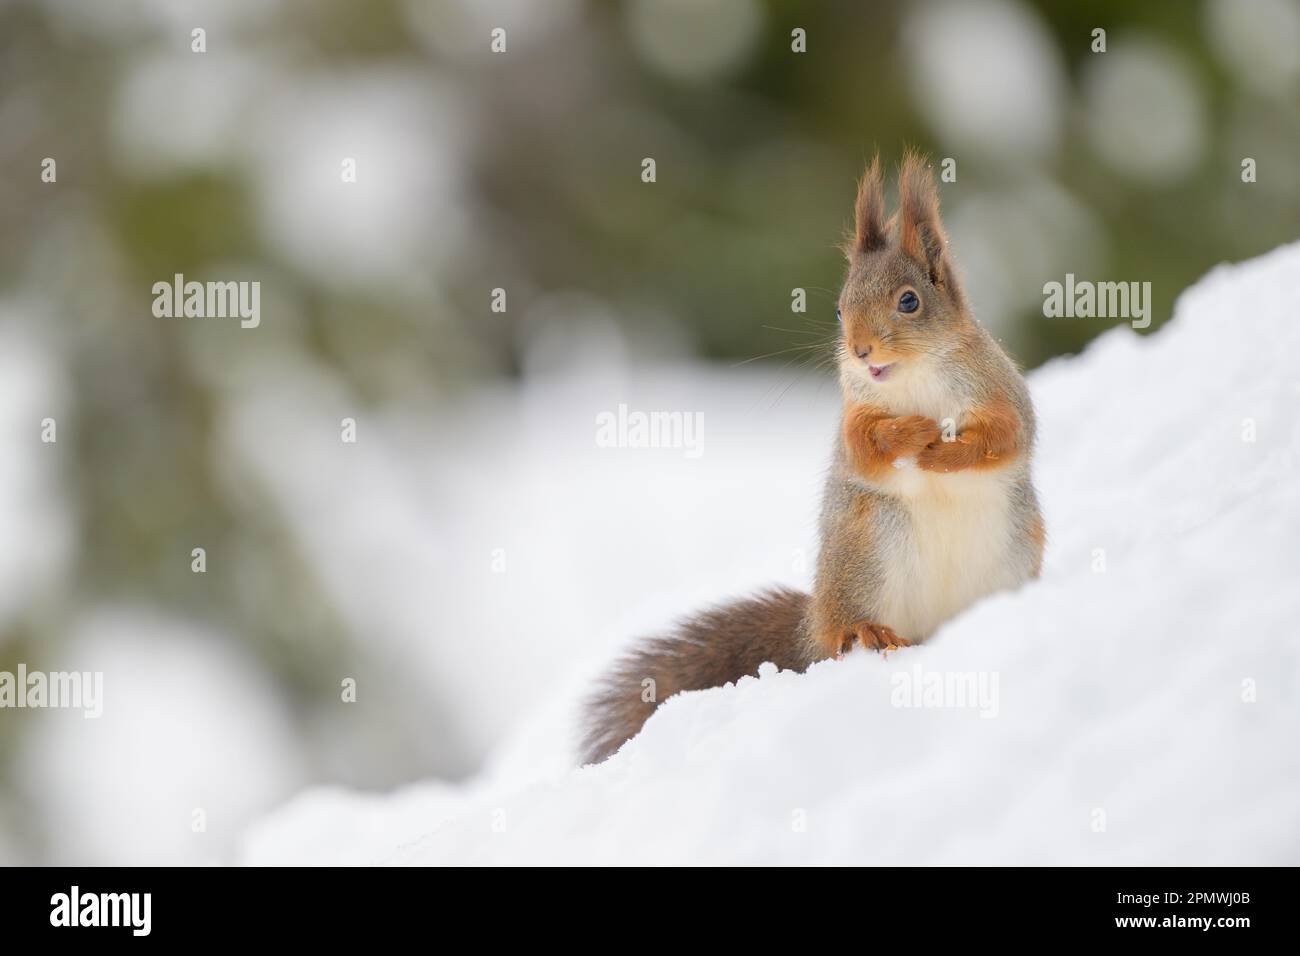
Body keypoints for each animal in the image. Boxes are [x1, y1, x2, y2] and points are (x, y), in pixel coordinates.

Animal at [581, 151, 1044, 765]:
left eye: (909, 301)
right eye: (840, 308)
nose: (861, 351)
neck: (915, 379)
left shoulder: (1002, 395)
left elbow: (1006, 437)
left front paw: (946, 452)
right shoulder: (853, 419)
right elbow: (865, 451)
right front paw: (912, 433)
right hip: (864, 553)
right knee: (844, 630)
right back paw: (869, 633)